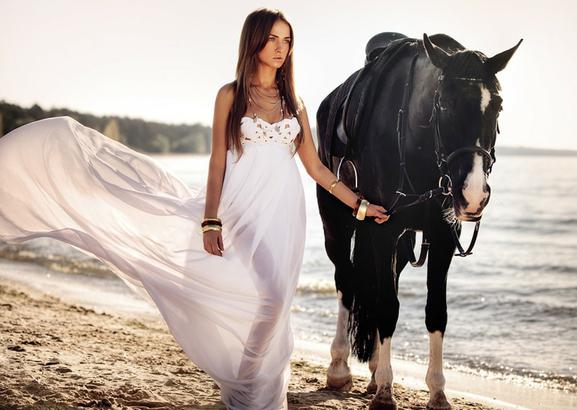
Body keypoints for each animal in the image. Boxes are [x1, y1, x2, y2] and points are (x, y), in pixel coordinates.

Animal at [316, 33, 520, 408]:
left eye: (497, 106)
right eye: (445, 105)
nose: (473, 193)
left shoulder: (441, 237)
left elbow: (435, 312)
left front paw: (437, 391)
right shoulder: (381, 231)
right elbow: (387, 306)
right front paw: (385, 391)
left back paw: (372, 371)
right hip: (335, 221)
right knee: (346, 283)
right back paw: (339, 367)